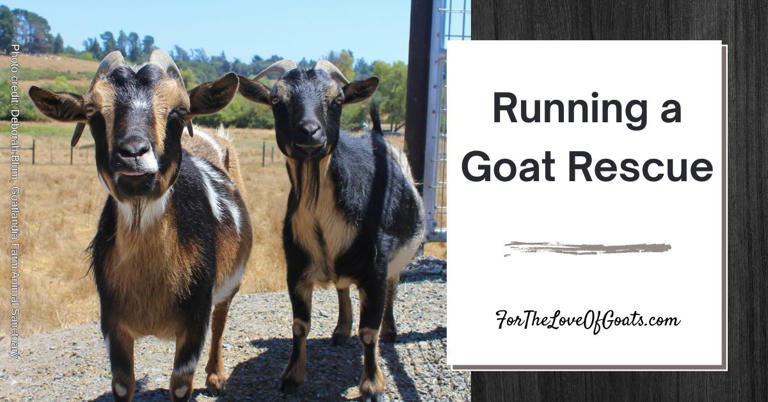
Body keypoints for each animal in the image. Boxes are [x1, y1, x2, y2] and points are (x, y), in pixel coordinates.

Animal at [28, 50, 252, 402]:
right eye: (92, 112)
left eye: (180, 110)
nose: (133, 153)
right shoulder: (113, 323)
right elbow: (123, 382)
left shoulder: (194, 323)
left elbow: (180, 384)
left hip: (232, 281)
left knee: (221, 318)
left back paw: (216, 377)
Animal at [238, 60, 425, 400]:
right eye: (276, 100)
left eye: (337, 100)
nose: (309, 131)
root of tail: (377, 134)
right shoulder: (296, 267)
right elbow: (300, 325)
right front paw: (292, 377)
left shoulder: (376, 269)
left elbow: (369, 331)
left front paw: (372, 384)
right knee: (341, 287)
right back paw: (340, 330)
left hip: (397, 258)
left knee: (393, 287)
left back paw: (391, 331)